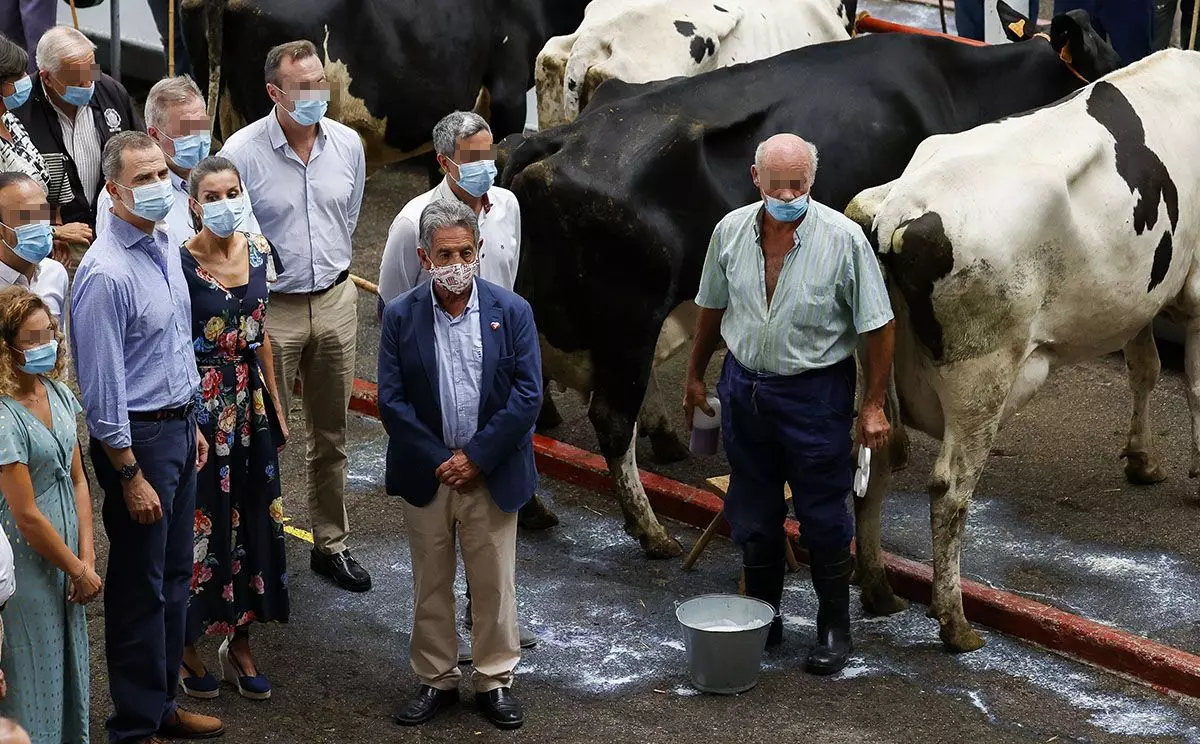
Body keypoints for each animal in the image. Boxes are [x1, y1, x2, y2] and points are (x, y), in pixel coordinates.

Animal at [844, 46, 1200, 652]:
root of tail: (896, 209)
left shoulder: (1139, 294)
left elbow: (1145, 369)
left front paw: (1143, 460)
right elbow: (1194, 385)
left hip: (877, 370)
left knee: (876, 455)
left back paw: (878, 590)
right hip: (982, 375)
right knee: (949, 489)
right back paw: (955, 622)